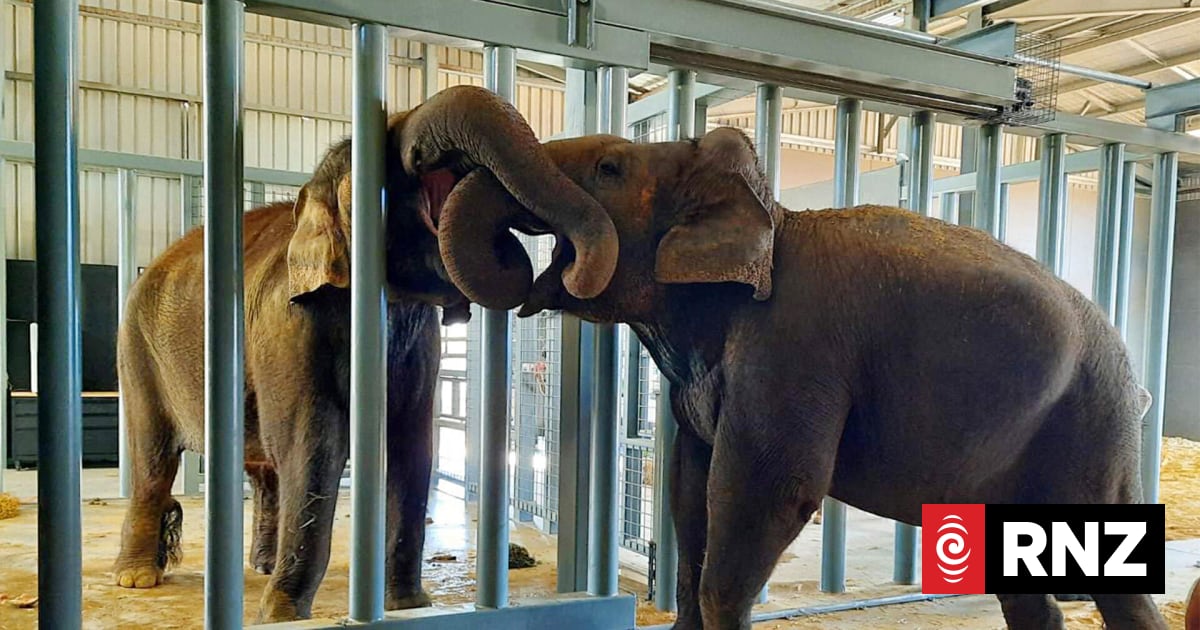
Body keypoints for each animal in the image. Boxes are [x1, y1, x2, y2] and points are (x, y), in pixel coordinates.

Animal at [110, 85, 618, 623]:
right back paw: (137, 578)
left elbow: (413, 446)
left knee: (263, 467)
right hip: (137, 350)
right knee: (153, 458)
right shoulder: (288, 326)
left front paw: (409, 606)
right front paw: (283, 616)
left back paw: (261, 567)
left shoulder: (420, 340)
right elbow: (315, 445)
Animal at [431, 127, 1167, 630]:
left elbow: (771, 493)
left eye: (609, 168)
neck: (768, 217)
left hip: (1092, 420)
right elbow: (689, 488)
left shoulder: (792, 344)